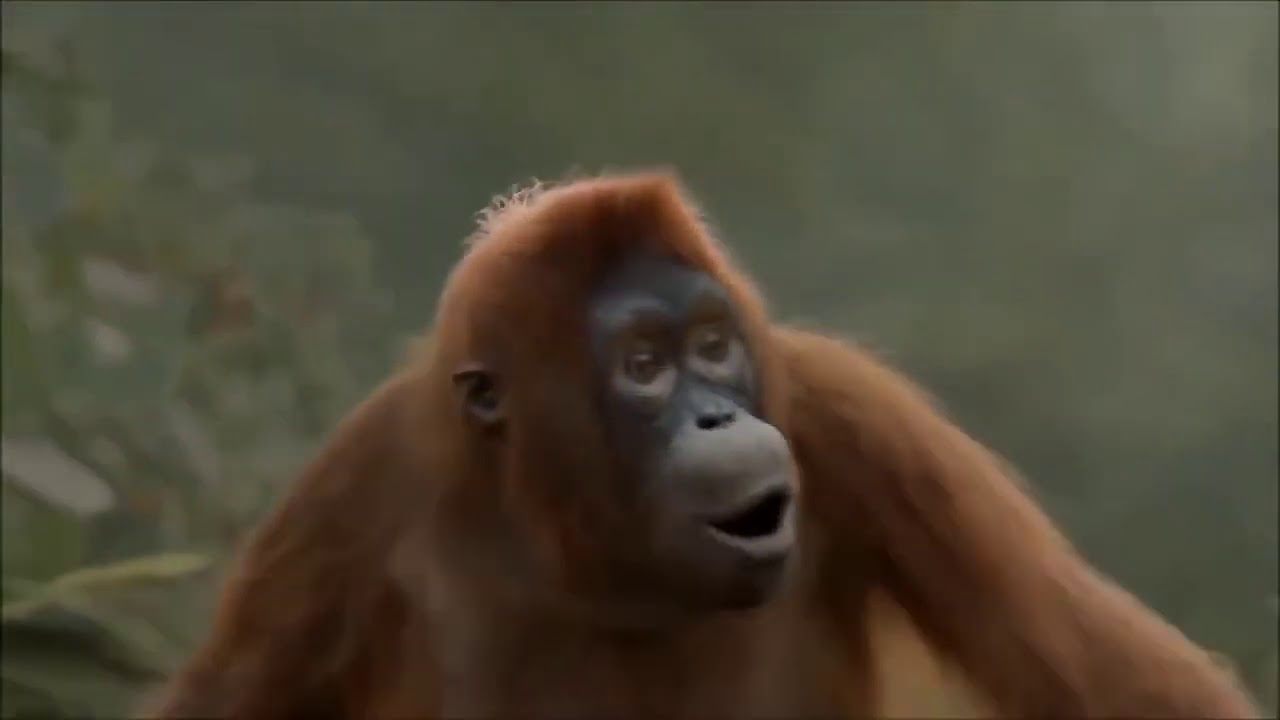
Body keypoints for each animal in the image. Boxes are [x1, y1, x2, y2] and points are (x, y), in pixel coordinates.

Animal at [145, 171, 1261, 719]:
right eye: (643, 365)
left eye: (714, 347)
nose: (717, 416)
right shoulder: (367, 482)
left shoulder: (849, 416)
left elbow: (1094, 665)